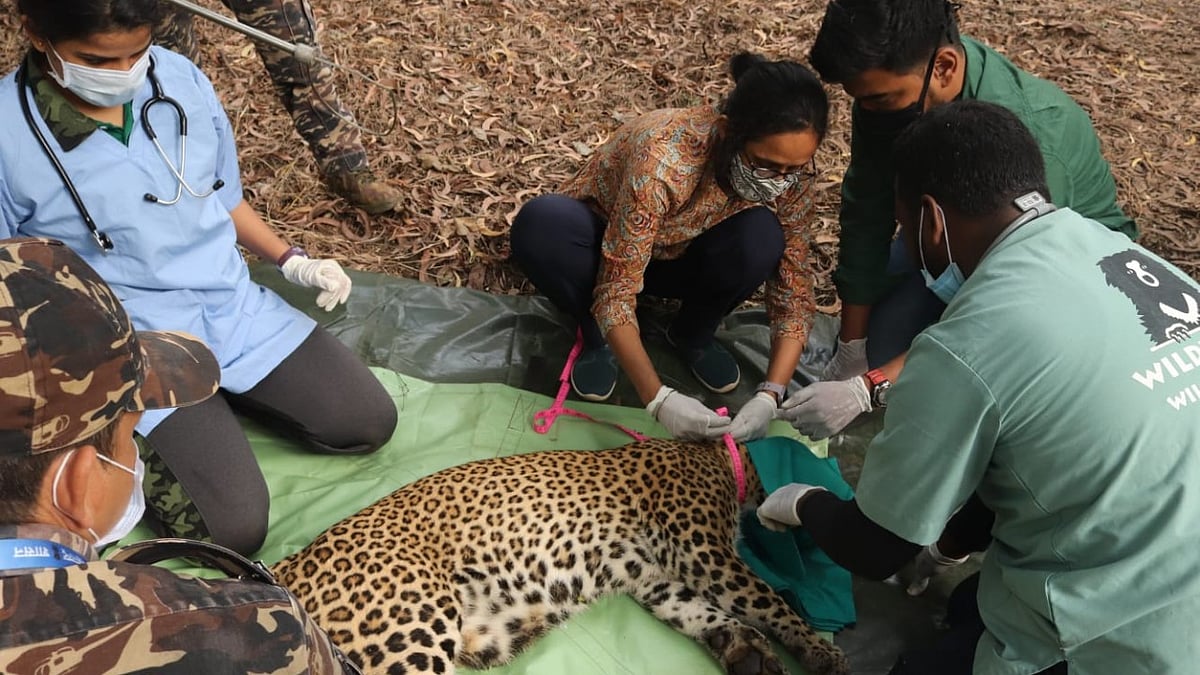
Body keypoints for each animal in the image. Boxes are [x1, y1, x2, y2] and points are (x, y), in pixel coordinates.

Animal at [271, 437, 852, 675]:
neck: (723, 458)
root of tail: (284, 566)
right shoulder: (704, 553)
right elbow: (770, 601)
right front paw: (821, 653)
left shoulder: (655, 578)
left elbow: (704, 614)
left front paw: (744, 651)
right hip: (408, 631)